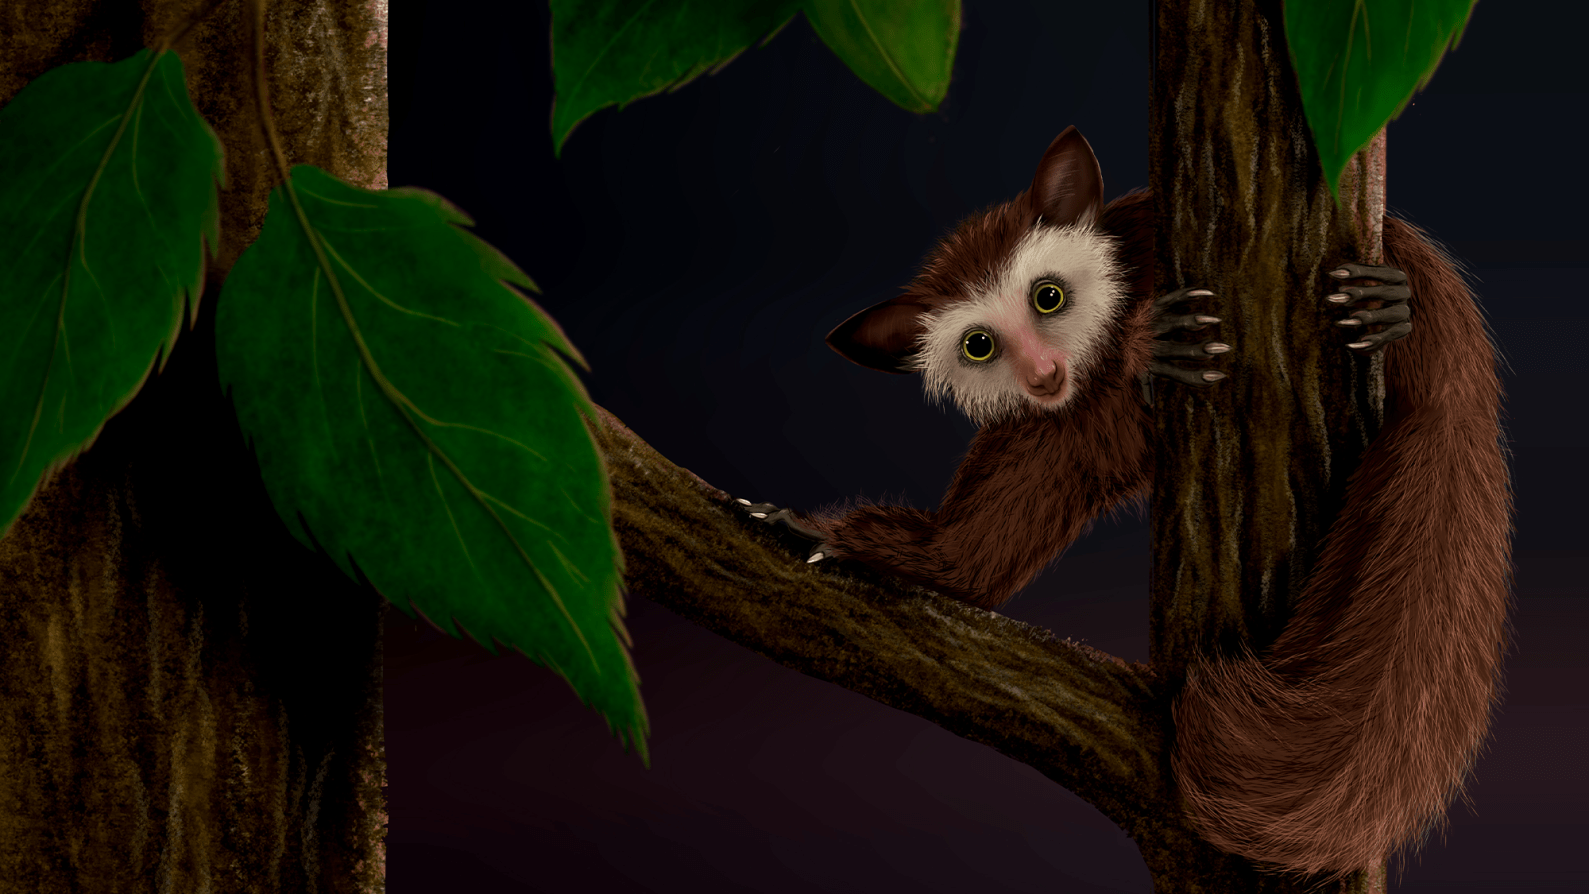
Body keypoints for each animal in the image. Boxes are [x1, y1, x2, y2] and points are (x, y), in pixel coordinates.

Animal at [735, 127, 1512, 878]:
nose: (1042, 374)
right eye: (979, 345)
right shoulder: (1050, 435)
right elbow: (972, 559)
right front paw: (832, 537)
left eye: (1047, 297)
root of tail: (1460, 390)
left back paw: (1393, 312)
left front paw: (1142, 351)